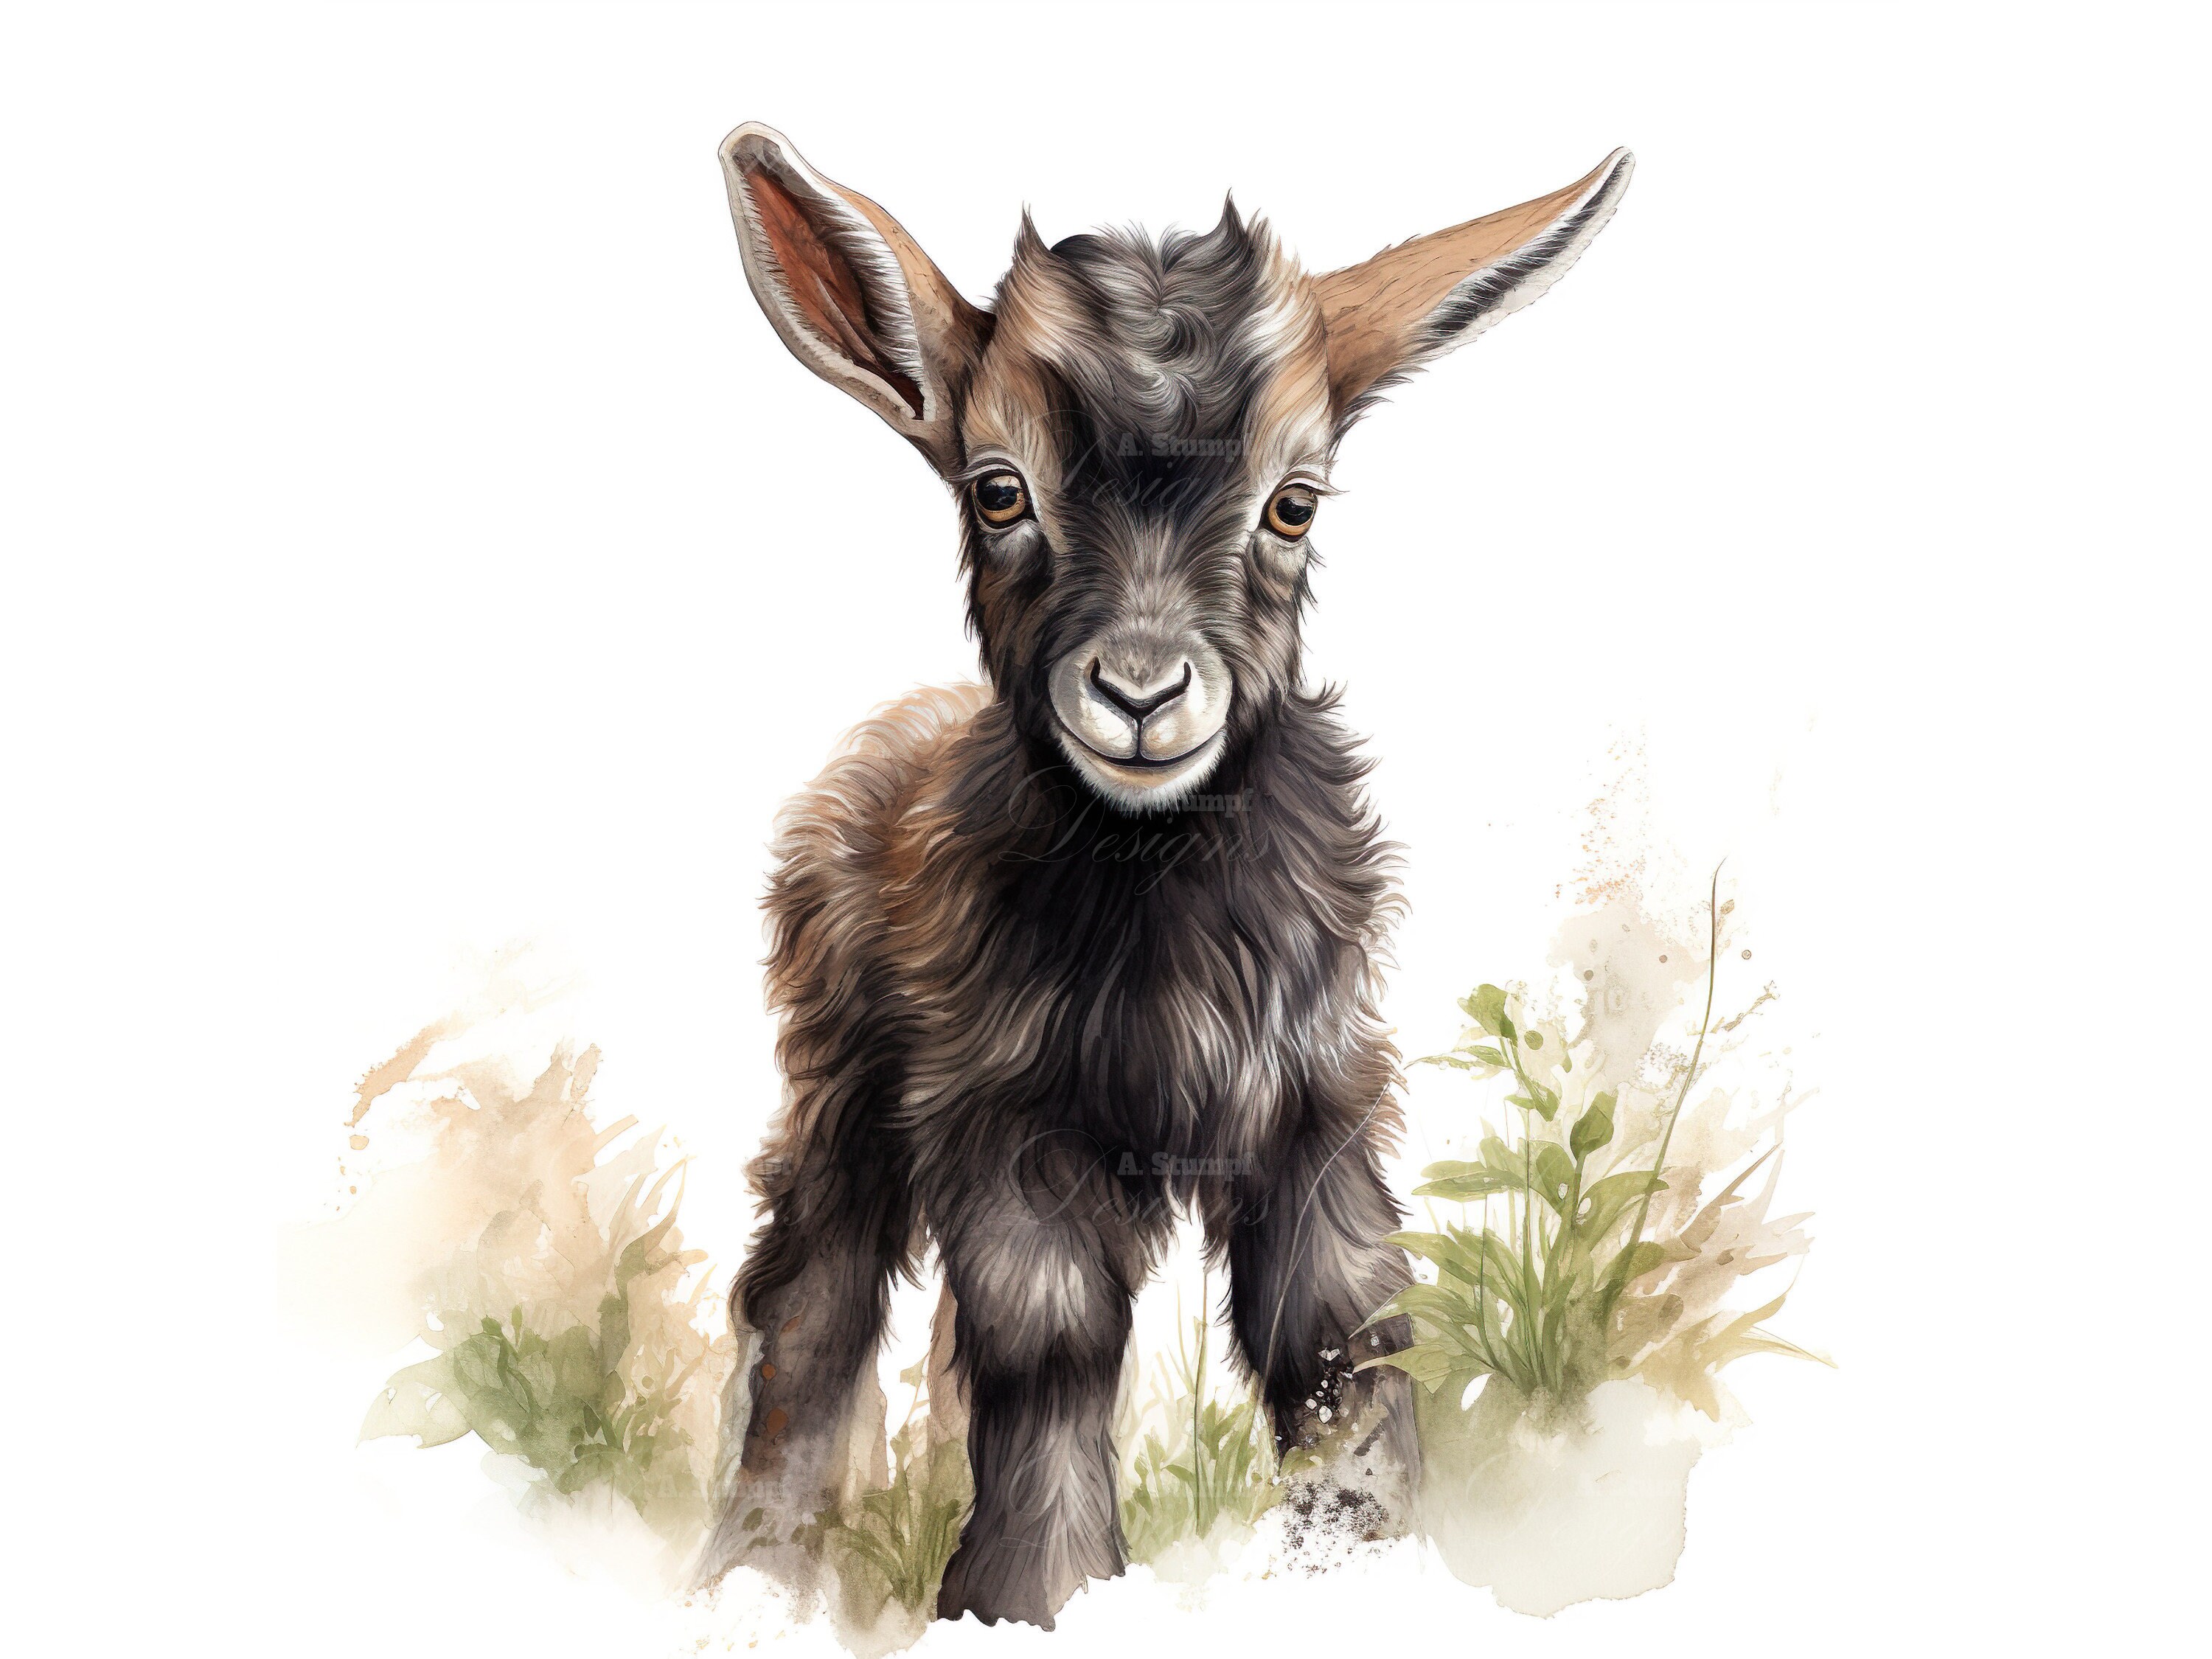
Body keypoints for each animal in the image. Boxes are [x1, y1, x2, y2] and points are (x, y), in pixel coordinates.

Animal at [696, 123, 1632, 1628]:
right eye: (997, 488)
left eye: (1293, 503)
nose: (1140, 693)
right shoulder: (1008, 1119)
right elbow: (1048, 1349)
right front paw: (1036, 1598)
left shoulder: (1318, 1103)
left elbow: (1341, 1336)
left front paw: (1371, 1563)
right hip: (839, 1078)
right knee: (810, 1296)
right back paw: (752, 1576)